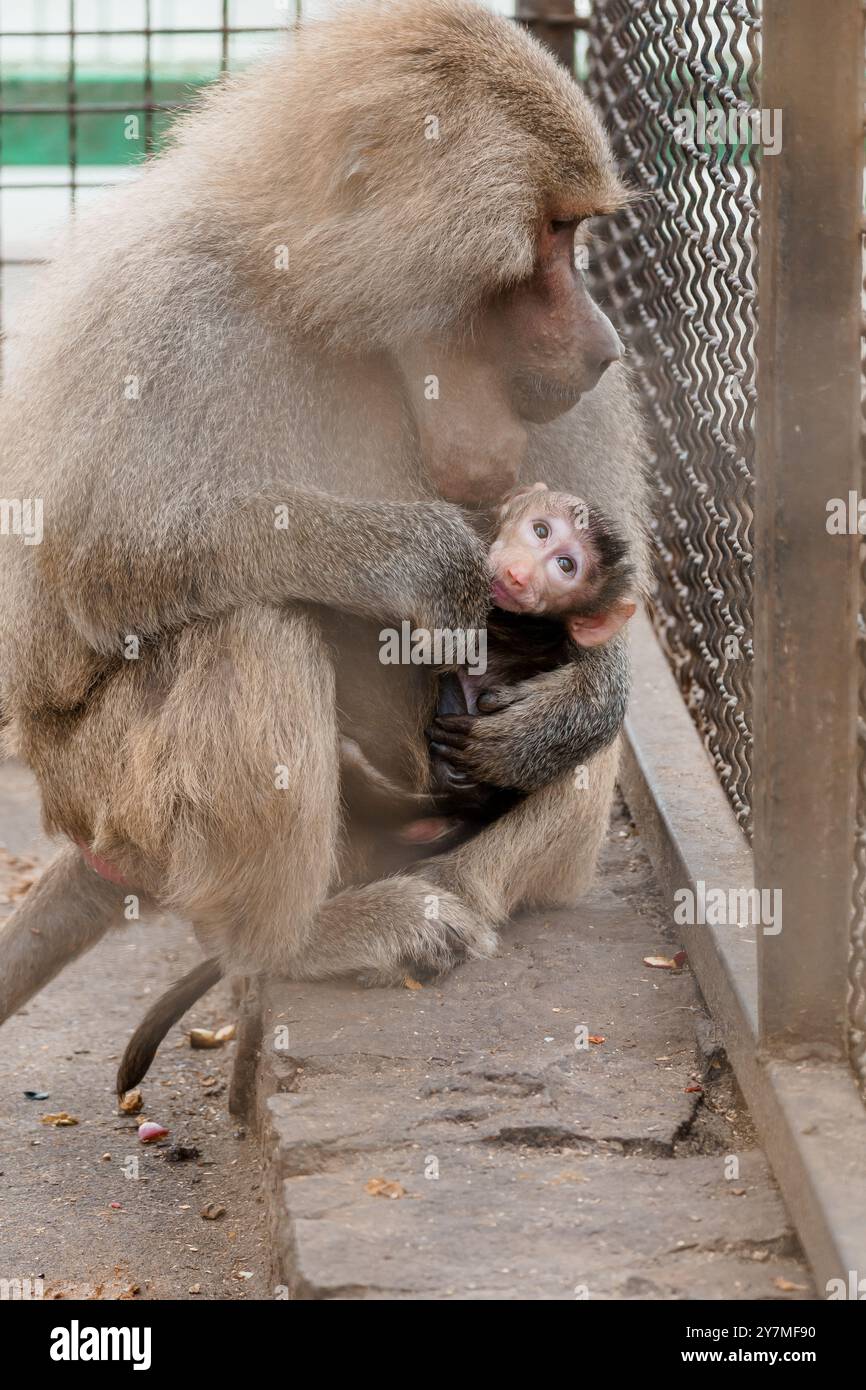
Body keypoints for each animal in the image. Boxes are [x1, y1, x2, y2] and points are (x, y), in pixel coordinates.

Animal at [0, 1, 651, 1098]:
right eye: (552, 234)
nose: (605, 349)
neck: (328, 308)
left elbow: (600, 609)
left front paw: (570, 706)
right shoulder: (163, 312)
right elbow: (104, 560)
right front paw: (411, 561)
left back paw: (450, 885)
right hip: (108, 794)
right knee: (252, 629)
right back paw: (299, 941)